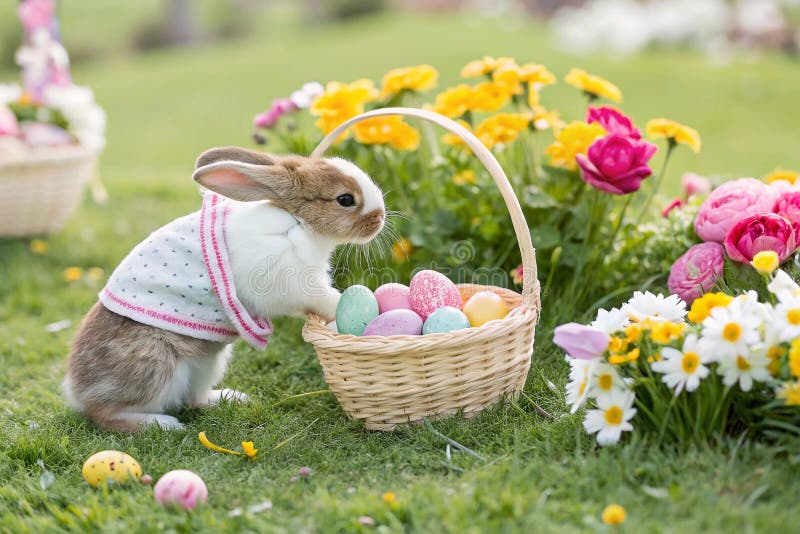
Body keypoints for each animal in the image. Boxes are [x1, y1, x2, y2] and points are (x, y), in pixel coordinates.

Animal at [63, 146, 385, 431]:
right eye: (345, 199)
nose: (381, 217)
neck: (298, 222)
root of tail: (76, 390)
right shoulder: (293, 285)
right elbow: (326, 300)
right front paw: (356, 312)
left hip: (208, 363)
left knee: (193, 400)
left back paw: (231, 398)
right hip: (156, 364)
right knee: (105, 415)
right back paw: (162, 424)